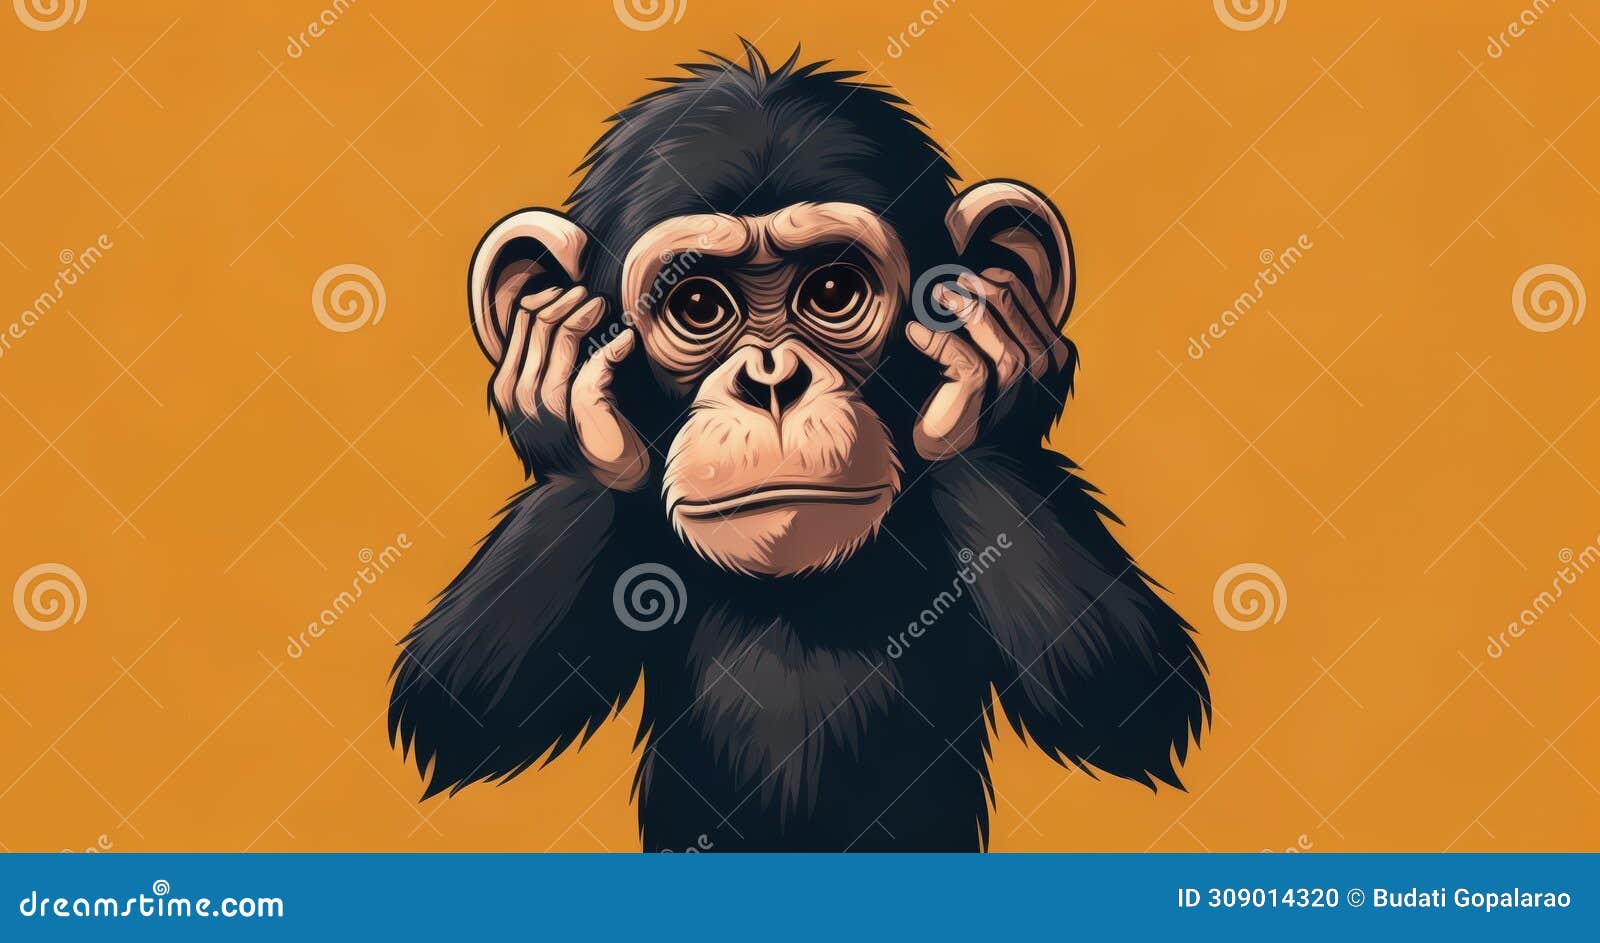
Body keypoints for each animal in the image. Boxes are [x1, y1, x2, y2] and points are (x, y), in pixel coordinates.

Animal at [389, 42, 1209, 852]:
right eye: (697, 303)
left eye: (834, 292)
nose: (772, 379)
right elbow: (462, 704)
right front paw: (564, 409)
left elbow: (1131, 693)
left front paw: (990, 377)